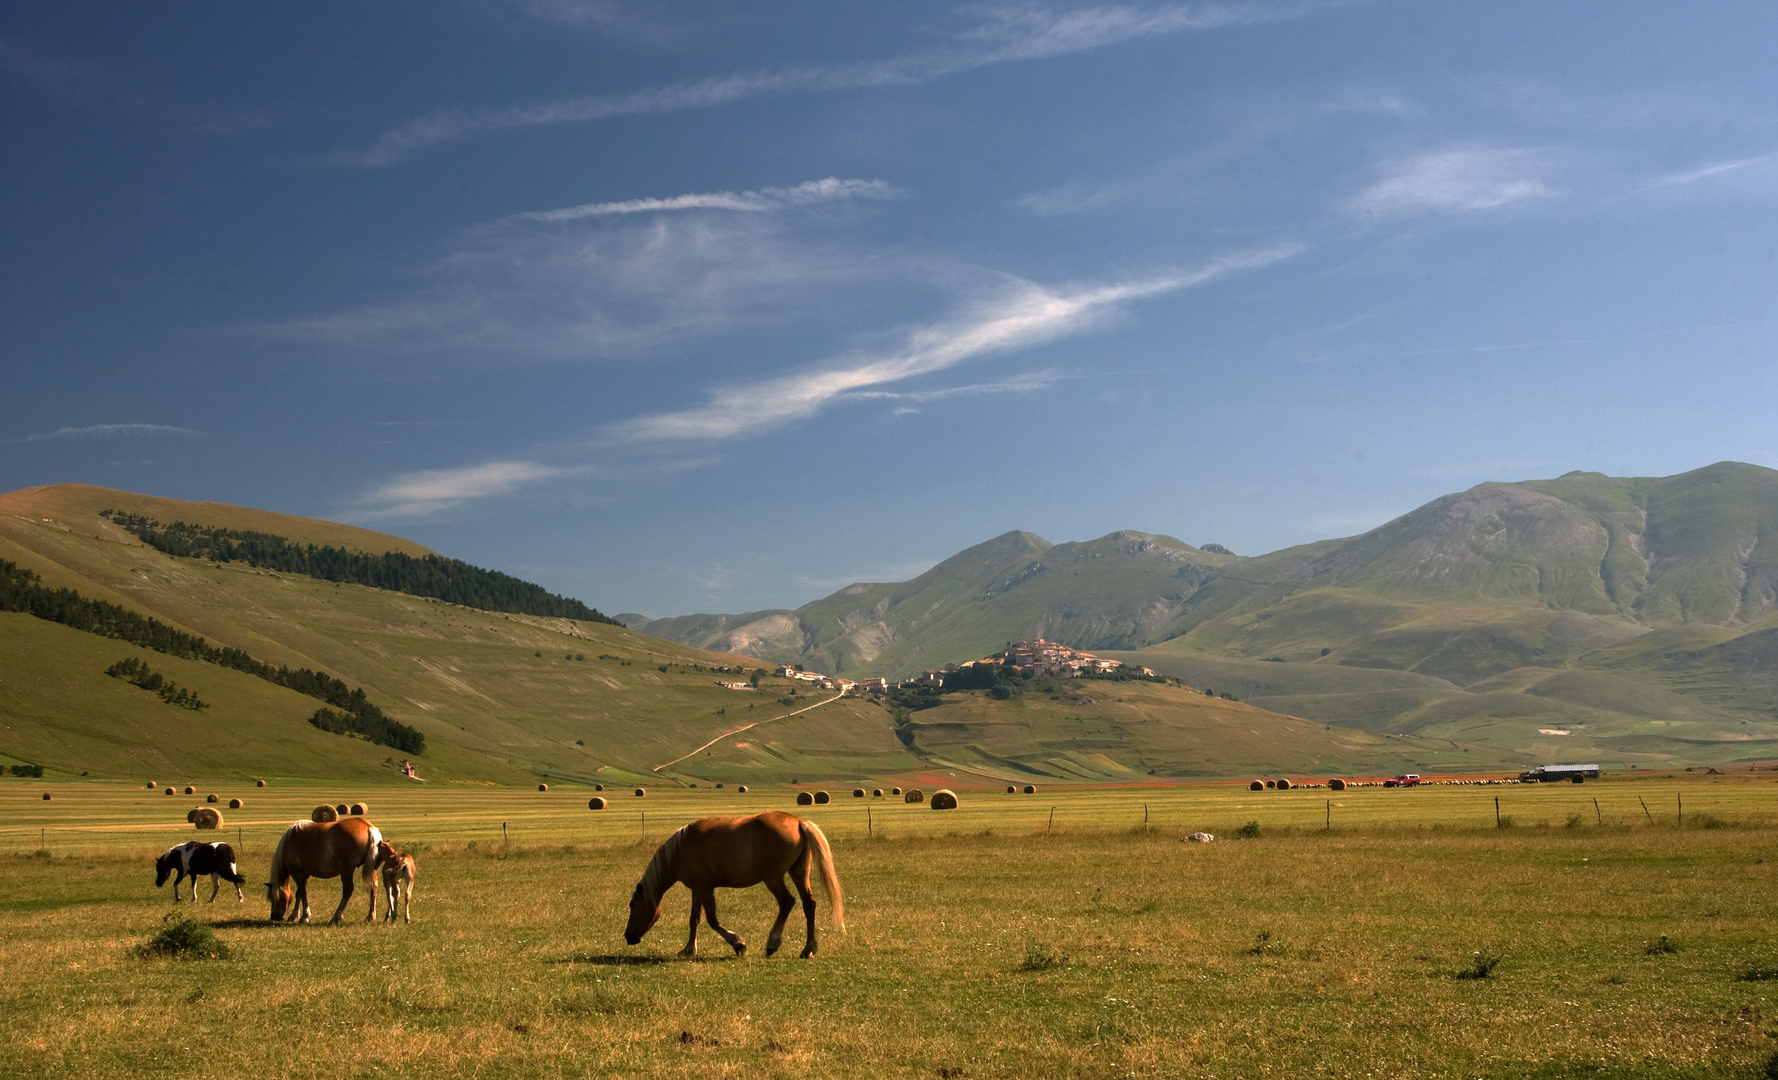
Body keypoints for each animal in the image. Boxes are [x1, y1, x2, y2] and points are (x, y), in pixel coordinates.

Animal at [625, 811, 846, 960]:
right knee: (809, 904)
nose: (628, 936)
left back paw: (773, 943)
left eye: (632, 905)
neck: (681, 849)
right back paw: (808, 949)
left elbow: (712, 920)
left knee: (787, 902)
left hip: (773, 877)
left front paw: (738, 944)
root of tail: (799, 822)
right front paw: (689, 949)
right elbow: (694, 919)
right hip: (798, 871)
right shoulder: (696, 888)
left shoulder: (705, 888)